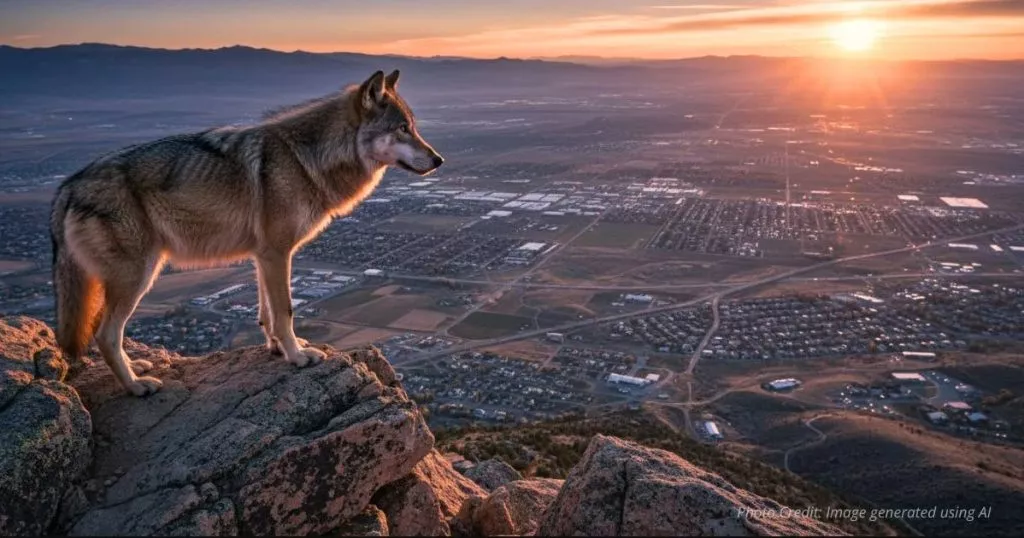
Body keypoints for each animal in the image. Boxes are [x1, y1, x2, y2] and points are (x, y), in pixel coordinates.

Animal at [50, 70, 443, 396]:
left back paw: (138, 367)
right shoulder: (277, 253)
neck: (306, 159)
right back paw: (135, 385)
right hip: (138, 276)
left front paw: (278, 349)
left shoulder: (263, 256)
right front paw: (298, 356)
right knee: (104, 335)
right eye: (402, 129)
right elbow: (285, 310)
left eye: (414, 126)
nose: (439, 160)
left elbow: (266, 313)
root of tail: (67, 187)